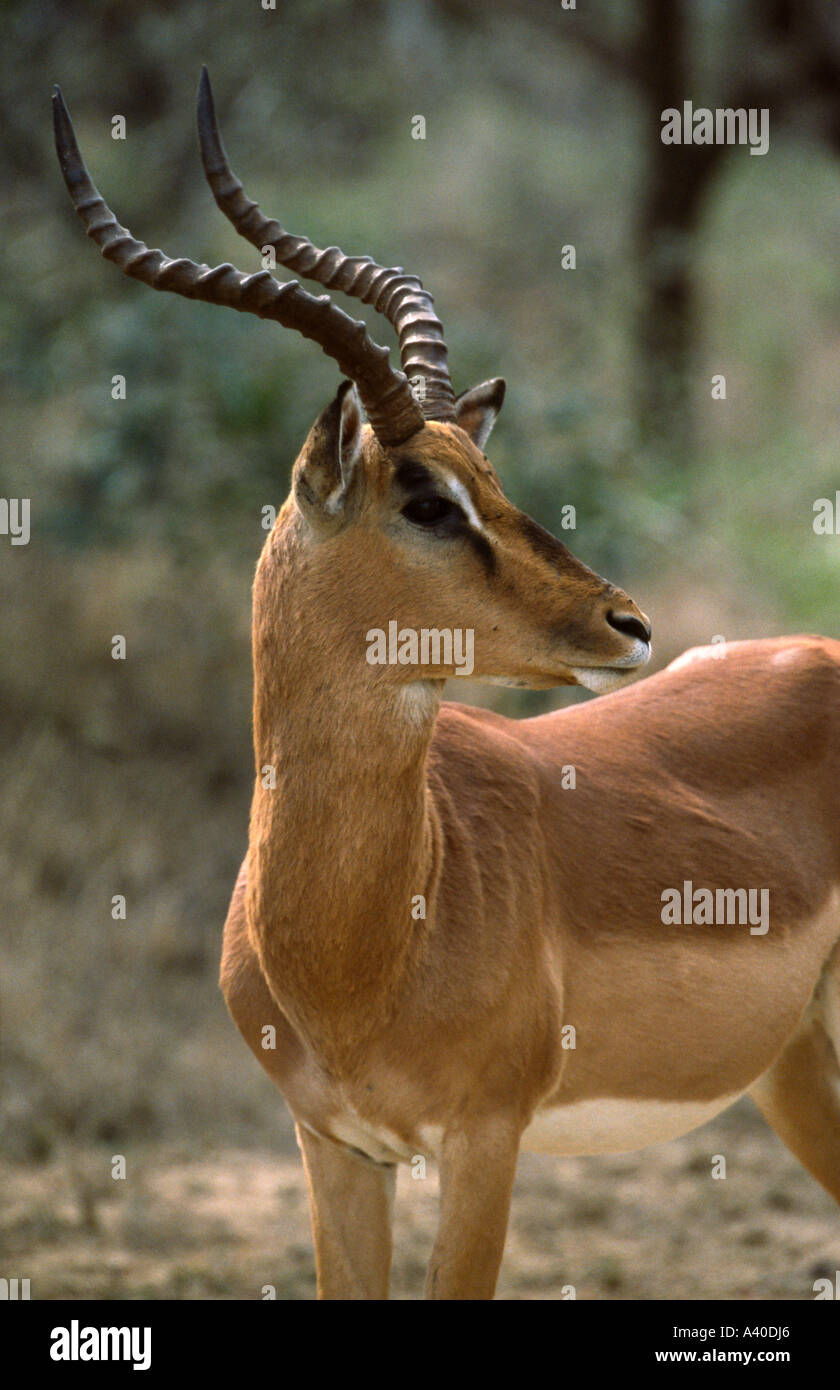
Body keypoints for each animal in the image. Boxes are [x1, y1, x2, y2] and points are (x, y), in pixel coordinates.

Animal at [55, 72, 840, 1301]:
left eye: (489, 476)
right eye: (427, 498)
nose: (626, 622)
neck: (363, 949)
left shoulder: (483, 1143)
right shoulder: (333, 1147)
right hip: (793, 1062)